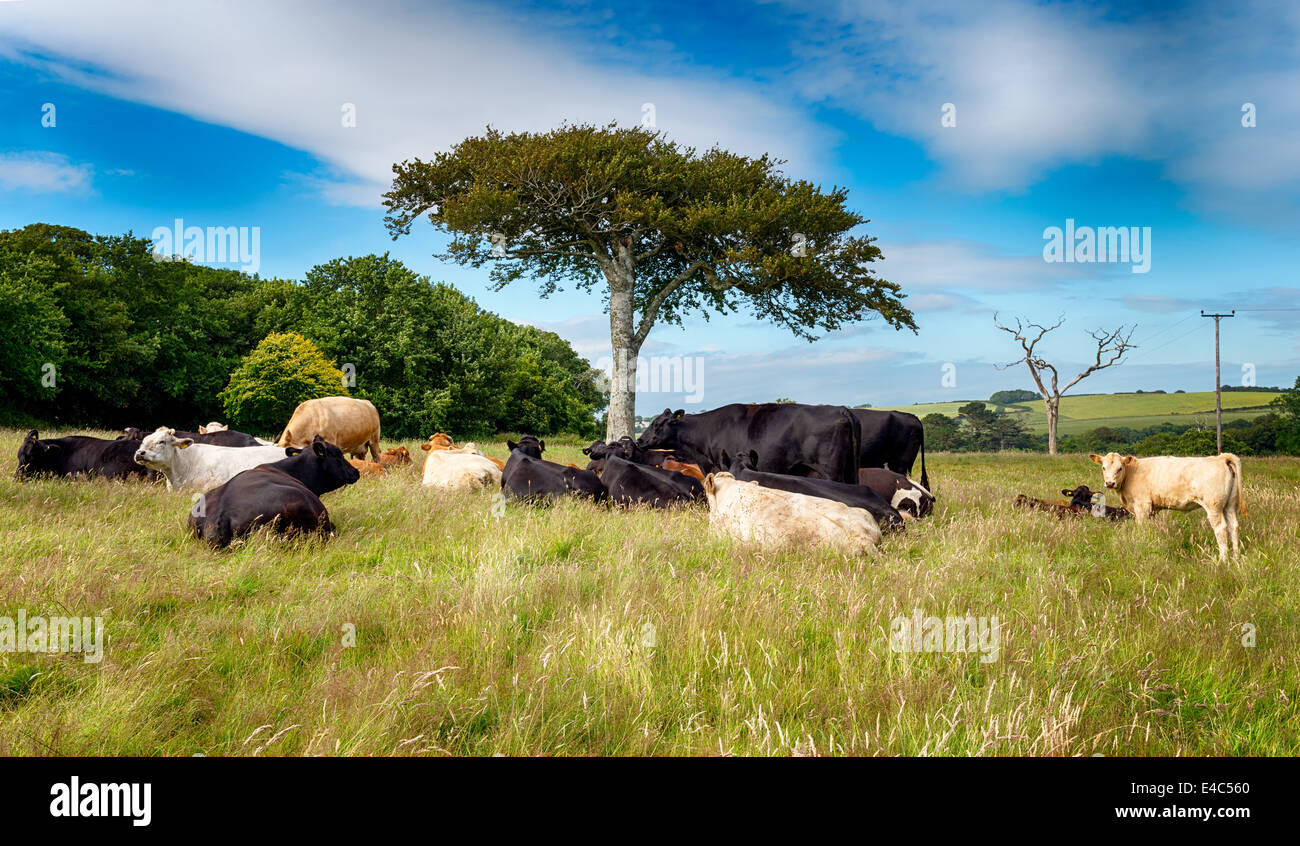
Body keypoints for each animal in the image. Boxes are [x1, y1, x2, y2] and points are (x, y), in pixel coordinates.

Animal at [1090, 452, 1243, 561]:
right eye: (1103, 467)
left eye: (1119, 468)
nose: (1109, 483)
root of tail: (1220, 458)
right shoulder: (1152, 509)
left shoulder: (1142, 506)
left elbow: (1142, 528)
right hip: (1230, 505)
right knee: (1233, 527)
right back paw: (1236, 558)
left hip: (1214, 507)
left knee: (1221, 529)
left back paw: (1223, 560)